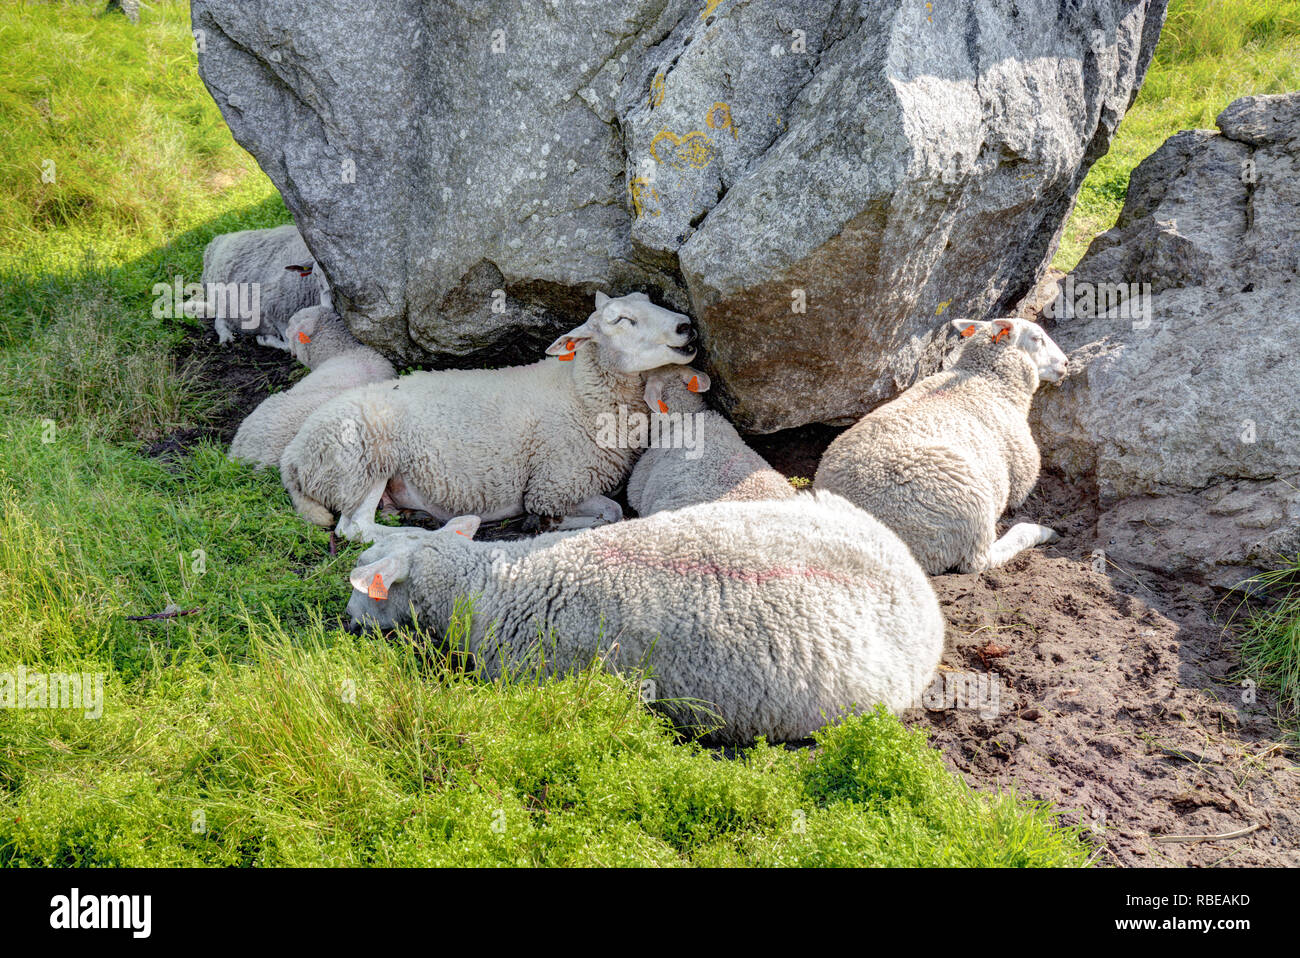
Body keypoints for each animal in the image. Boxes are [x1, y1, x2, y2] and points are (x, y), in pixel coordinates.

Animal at [185, 224, 329, 350]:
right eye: (316, 274)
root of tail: (222, 237)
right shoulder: (275, 309)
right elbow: (289, 345)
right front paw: (264, 339)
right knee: (219, 319)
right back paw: (226, 337)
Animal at [280, 291, 703, 541]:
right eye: (620, 321)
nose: (685, 326)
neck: (580, 393)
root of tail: (292, 456)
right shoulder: (553, 484)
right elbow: (611, 512)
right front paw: (545, 524)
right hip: (360, 465)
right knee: (356, 529)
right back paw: (426, 535)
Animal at [813, 316, 1068, 574]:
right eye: (1037, 338)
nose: (1066, 363)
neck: (989, 381)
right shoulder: (1022, 472)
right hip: (969, 510)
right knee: (980, 561)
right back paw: (1041, 531)